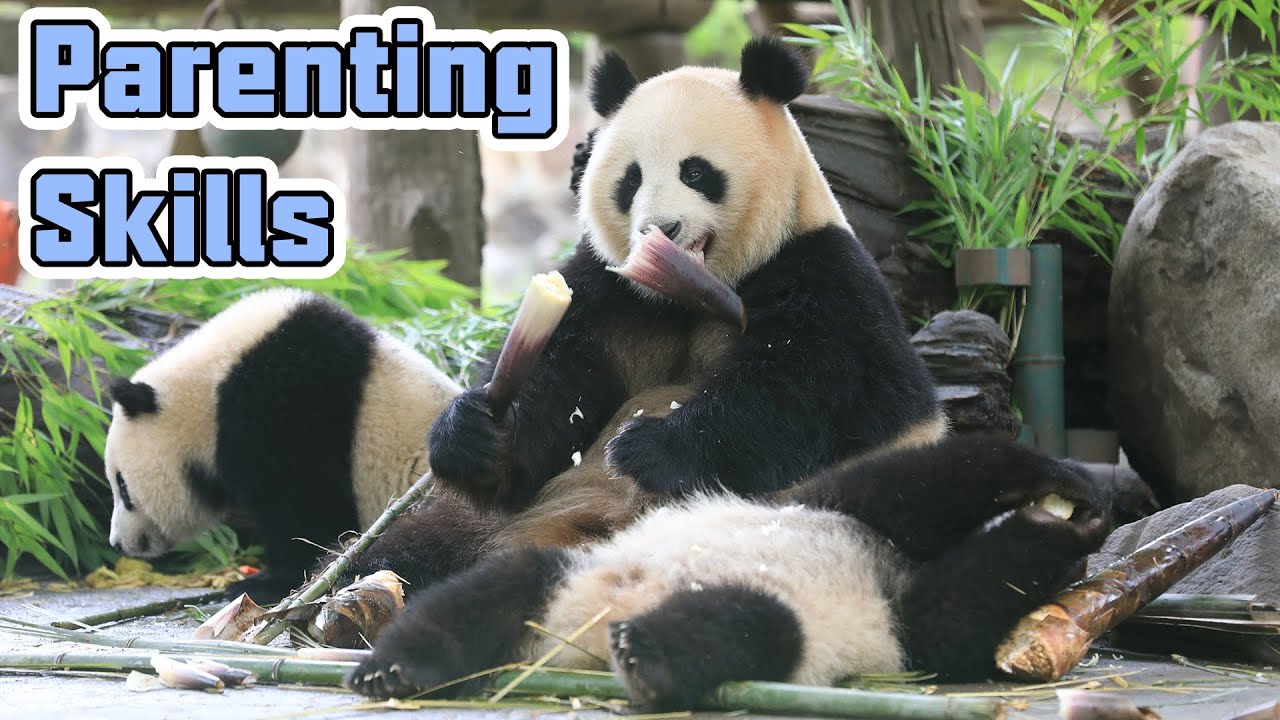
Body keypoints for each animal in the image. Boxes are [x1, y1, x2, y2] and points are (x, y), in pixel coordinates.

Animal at [347, 37, 945, 593]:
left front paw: (651, 447)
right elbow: (559, 402)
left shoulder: (824, 272)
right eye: (630, 179)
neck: (693, 293)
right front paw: (474, 434)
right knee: (417, 548)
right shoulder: (608, 294)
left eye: (696, 172)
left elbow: (819, 391)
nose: (662, 230)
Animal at [347, 434, 1113, 708]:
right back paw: (396, 666)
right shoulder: (832, 503)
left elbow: (950, 618)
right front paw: (1063, 494)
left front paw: (1060, 525)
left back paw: (647, 652)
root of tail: (582, 638)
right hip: (565, 571)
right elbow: (924, 482)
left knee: (741, 626)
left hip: (788, 624)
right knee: (489, 592)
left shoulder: (897, 606)